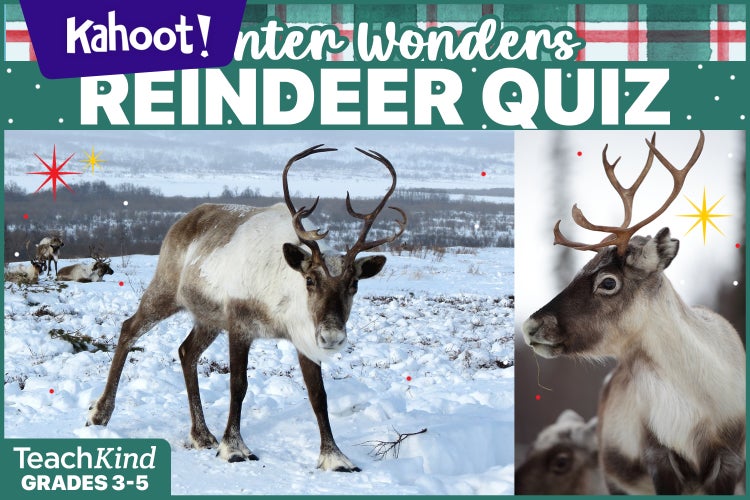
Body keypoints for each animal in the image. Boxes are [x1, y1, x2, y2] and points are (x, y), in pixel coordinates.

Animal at [86, 145, 407, 472]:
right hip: (166, 290)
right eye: (310, 280)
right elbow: (238, 384)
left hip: (209, 318)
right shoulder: (239, 325)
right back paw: (100, 413)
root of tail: (184, 219)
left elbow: (318, 394)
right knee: (129, 328)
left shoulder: (303, 337)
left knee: (186, 351)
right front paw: (234, 447)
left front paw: (335, 456)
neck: (281, 304)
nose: (332, 337)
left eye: (354, 284)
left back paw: (201, 434)